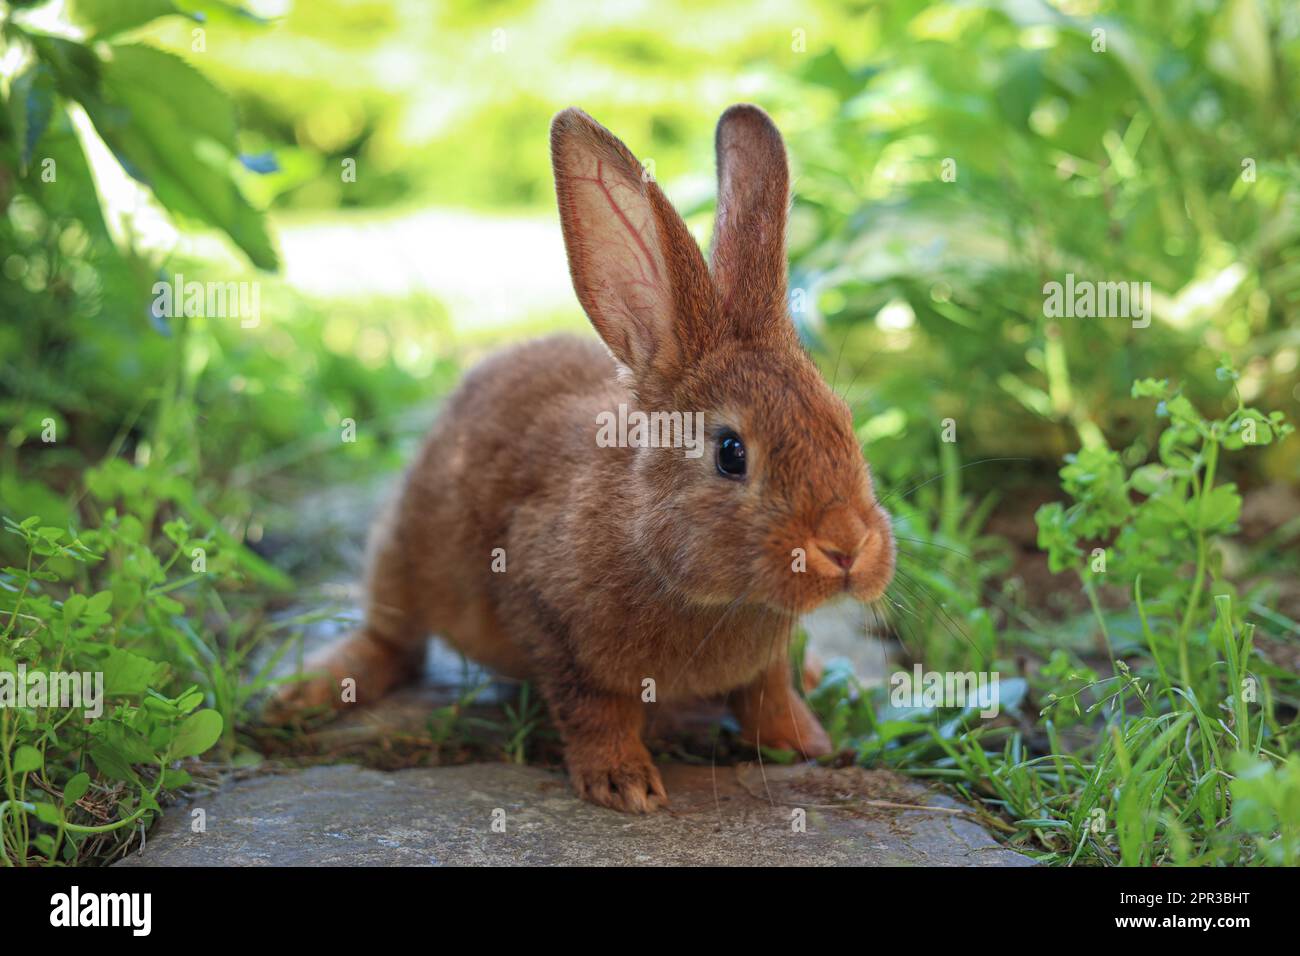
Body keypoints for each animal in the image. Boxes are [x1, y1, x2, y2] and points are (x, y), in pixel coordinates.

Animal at [274, 104, 895, 813]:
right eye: (731, 453)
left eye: (845, 424)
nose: (848, 548)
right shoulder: (546, 617)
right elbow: (595, 708)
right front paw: (624, 783)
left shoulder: (763, 661)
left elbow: (768, 694)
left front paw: (809, 742)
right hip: (402, 553)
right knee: (394, 641)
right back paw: (302, 693)